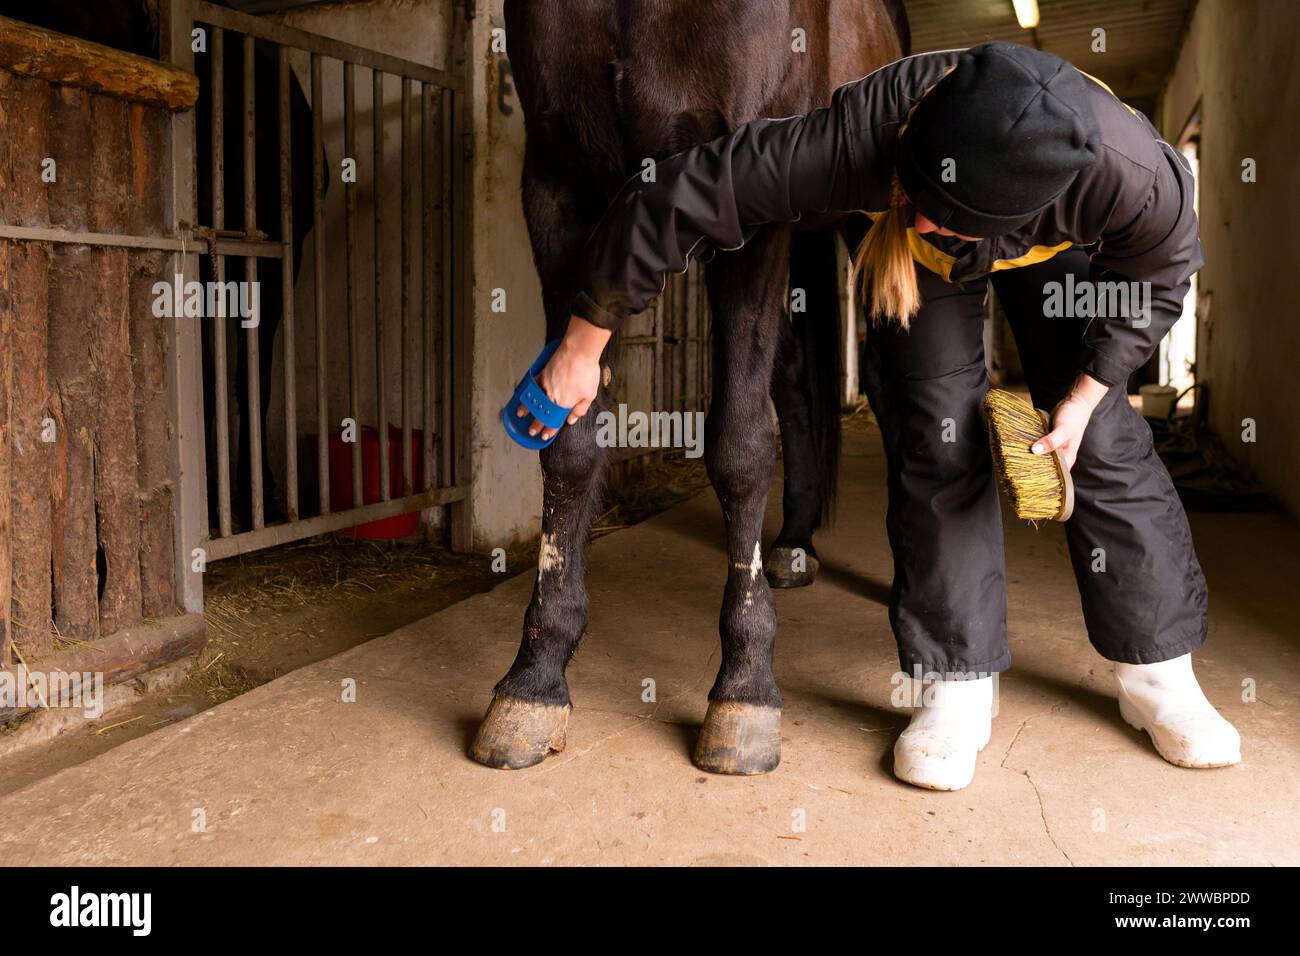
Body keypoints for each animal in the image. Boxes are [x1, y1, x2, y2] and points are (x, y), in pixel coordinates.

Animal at [470, 0, 909, 774]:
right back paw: (792, 545)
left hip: (861, 221)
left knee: (884, 385)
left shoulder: (754, 198)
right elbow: (571, 443)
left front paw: (744, 690)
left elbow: (739, 445)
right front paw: (534, 681)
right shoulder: (560, 190)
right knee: (794, 384)